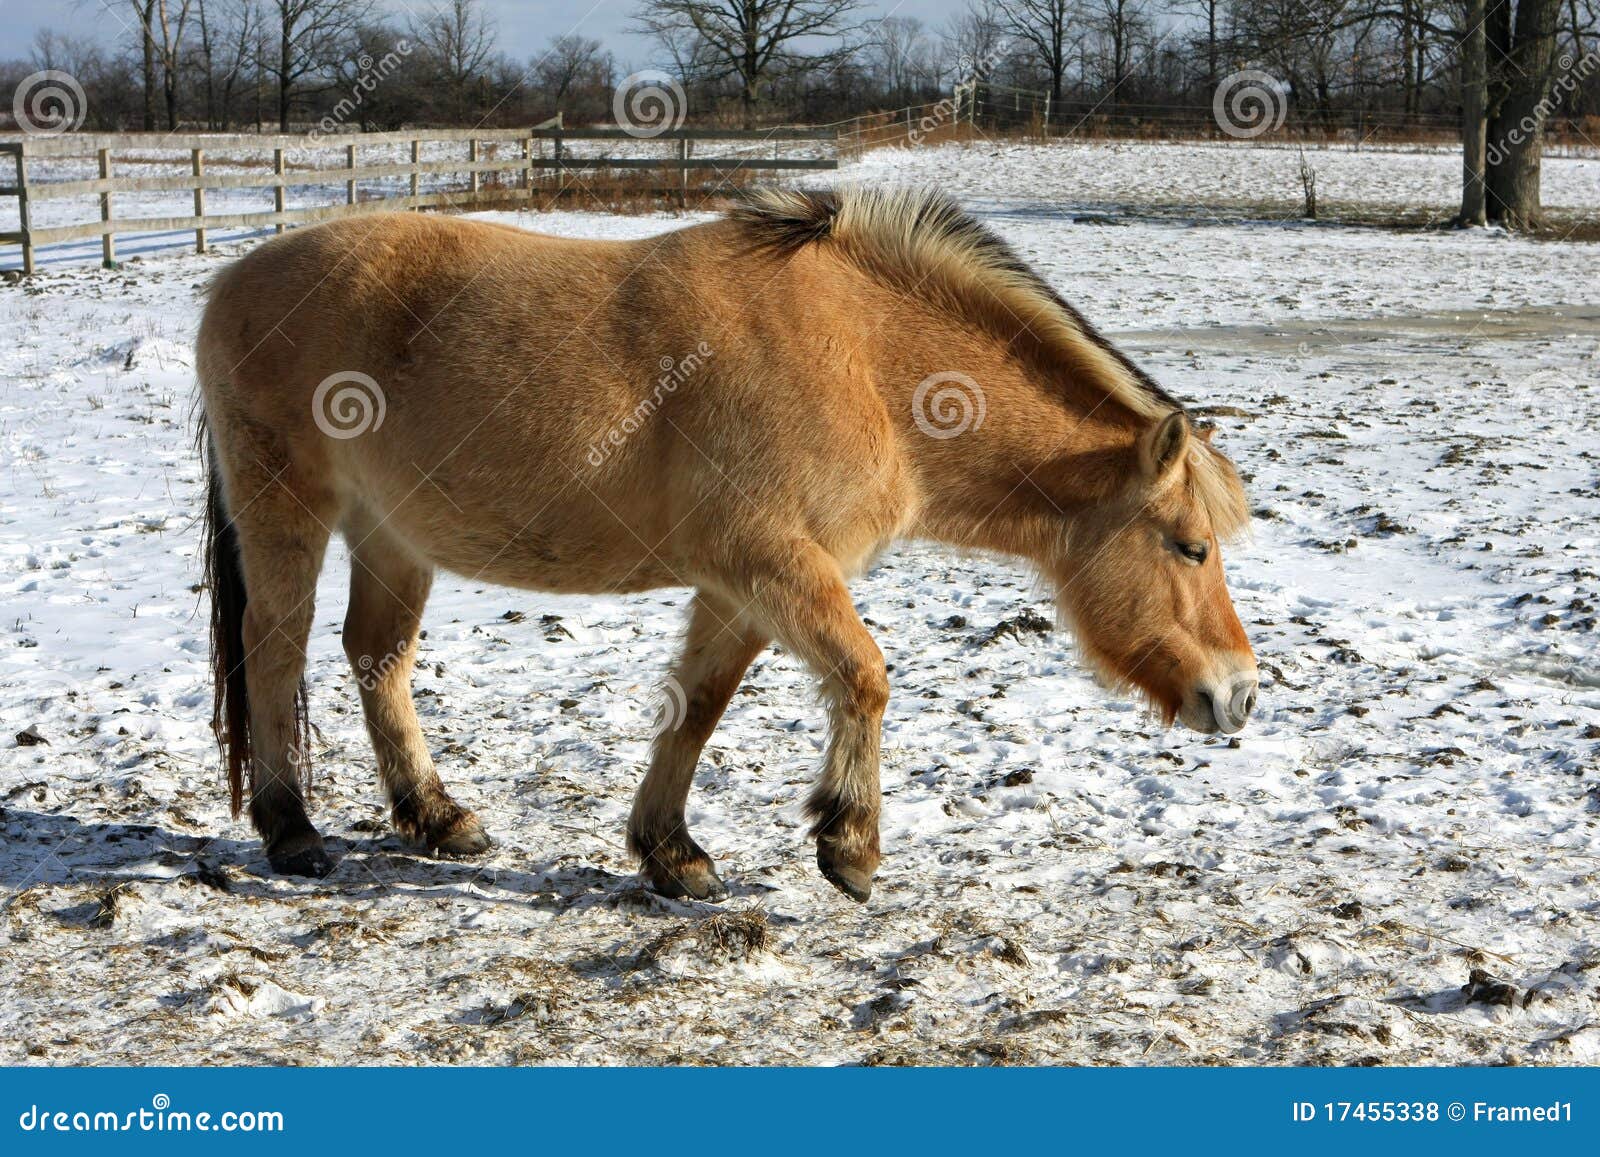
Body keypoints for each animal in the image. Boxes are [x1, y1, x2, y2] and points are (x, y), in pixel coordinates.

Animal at [195, 185, 1257, 903]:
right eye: (1190, 546)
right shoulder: (775, 565)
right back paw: (292, 831)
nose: (1240, 694)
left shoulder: (744, 587)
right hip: (289, 513)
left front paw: (671, 852)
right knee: (274, 649)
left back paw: (437, 817)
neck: (865, 362)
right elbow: (864, 674)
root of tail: (231, 279)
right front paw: (850, 845)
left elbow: (697, 706)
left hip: (393, 534)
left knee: (377, 657)